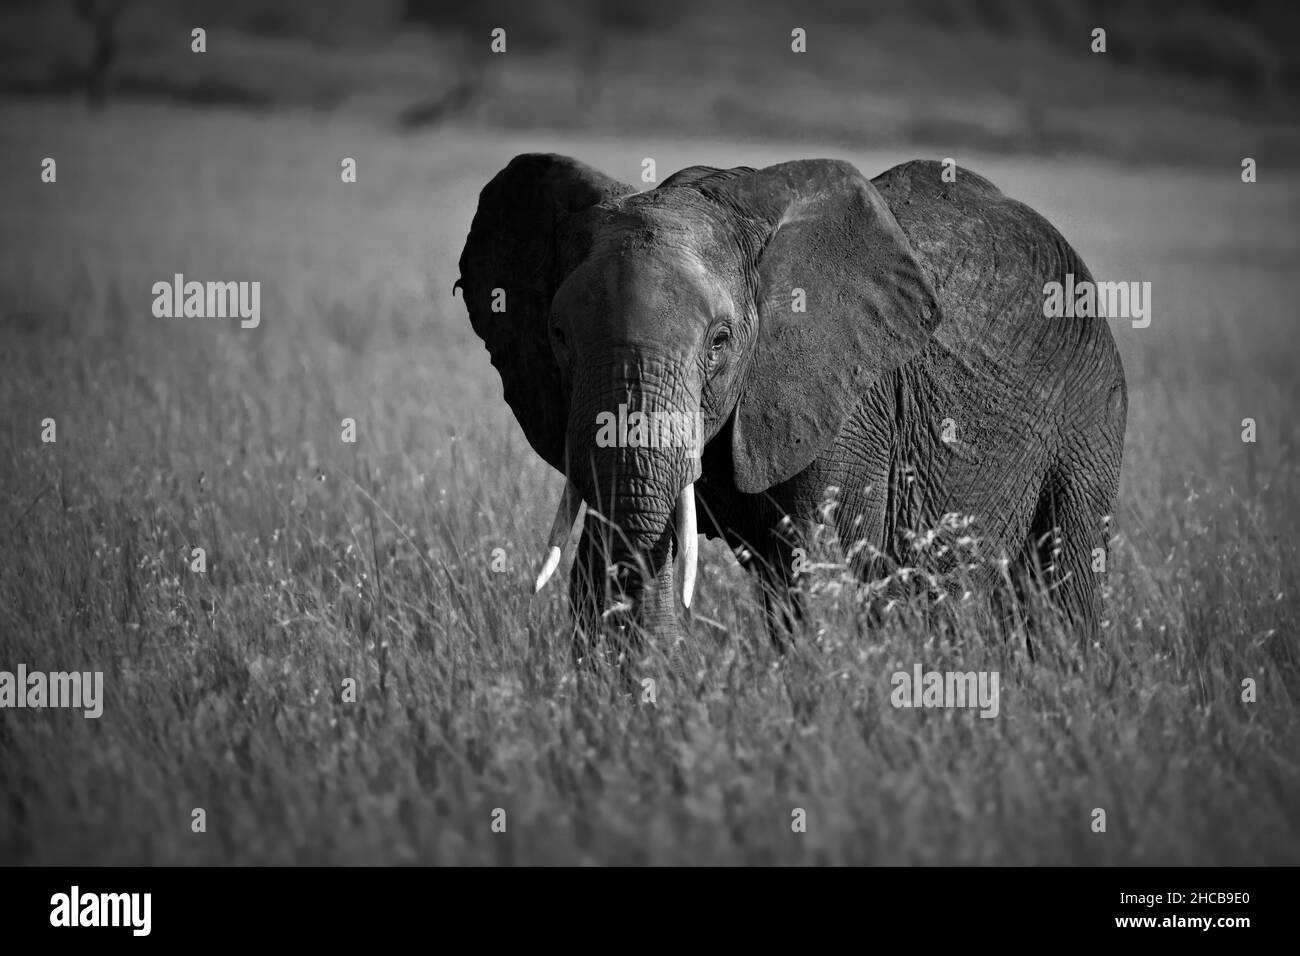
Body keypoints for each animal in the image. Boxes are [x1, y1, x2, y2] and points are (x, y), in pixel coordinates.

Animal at [456, 154, 1127, 653]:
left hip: (1090, 411)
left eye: (721, 340)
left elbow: (815, 575)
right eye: (558, 336)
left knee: (1062, 582)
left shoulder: (845, 401)